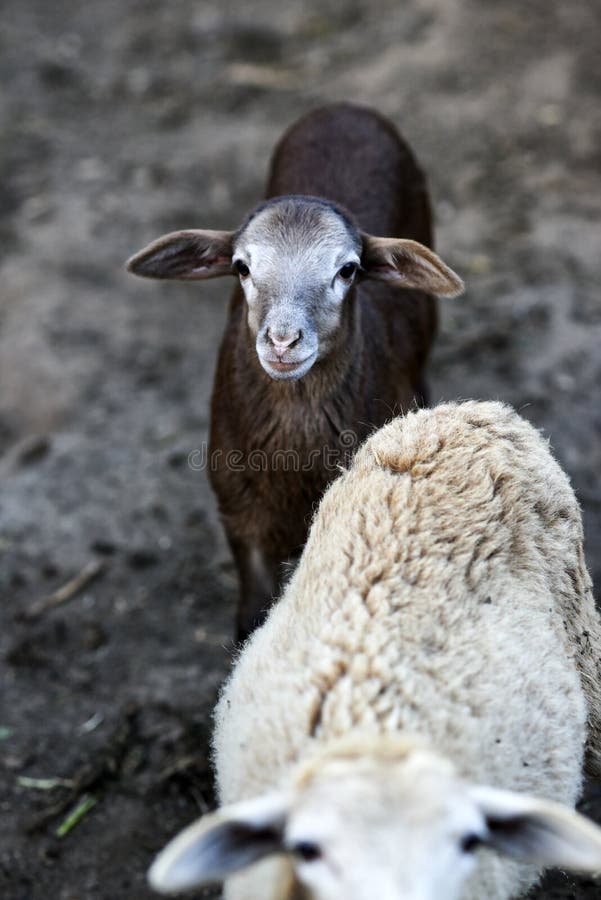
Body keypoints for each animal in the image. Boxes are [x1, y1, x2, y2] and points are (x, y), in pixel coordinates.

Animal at [126, 102, 464, 640]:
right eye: (241, 267)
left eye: (348, 270)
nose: (283, 341)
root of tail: (344, 108)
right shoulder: (241, 523)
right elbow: (249, 624)